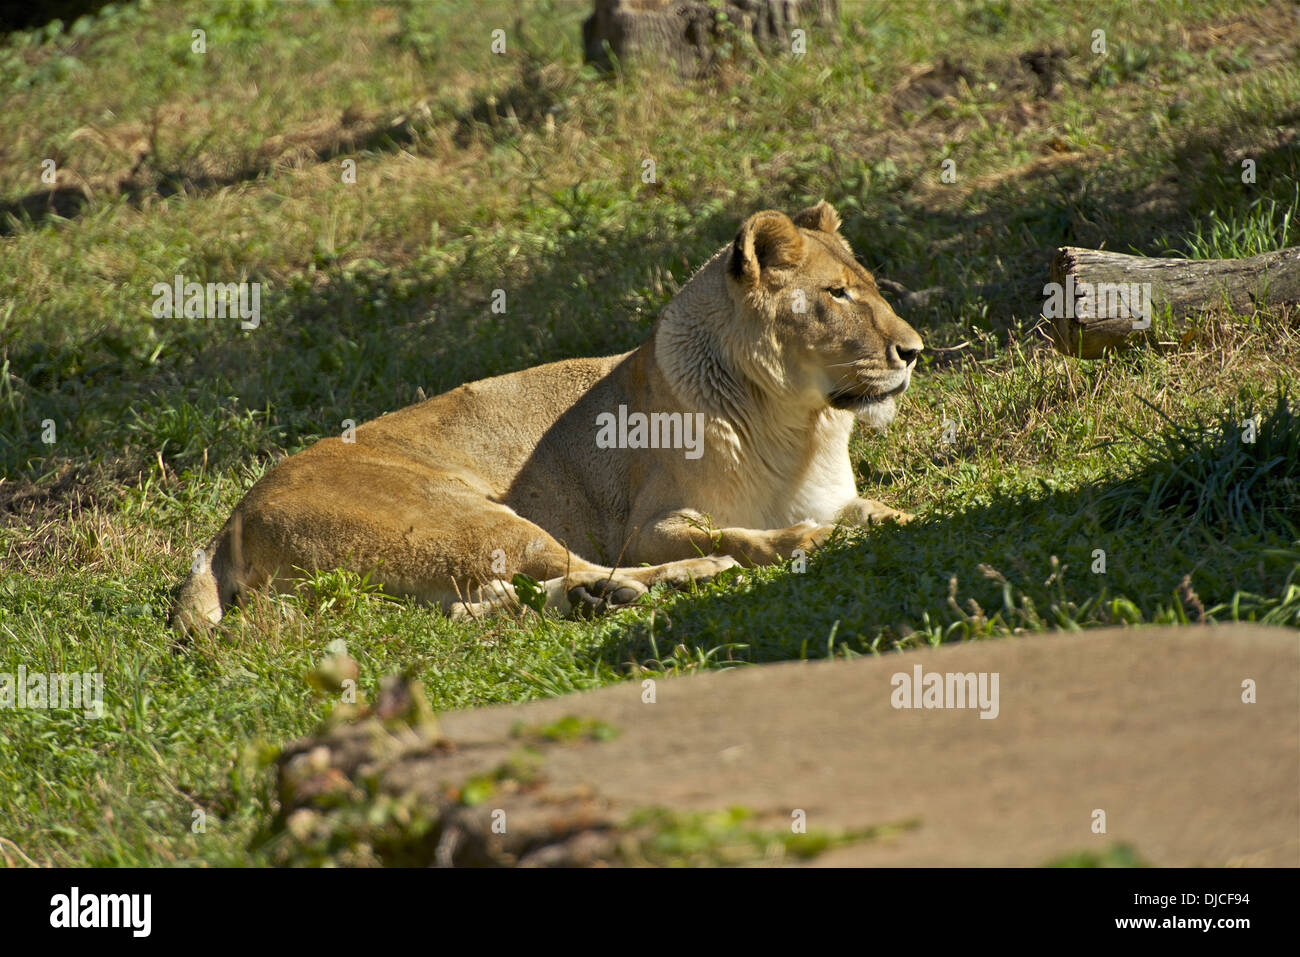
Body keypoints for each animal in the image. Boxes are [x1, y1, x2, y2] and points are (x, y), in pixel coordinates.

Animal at [172, 200, 923, 629]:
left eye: (870, 286)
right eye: (836, 295)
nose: (914, 351)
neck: (796, 424)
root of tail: (232, 517)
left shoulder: (838, 495)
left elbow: (880, 513)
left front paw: (910, 523)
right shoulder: (646, 526)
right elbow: (741, 533)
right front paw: (801, 541)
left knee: (493, 602)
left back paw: (599, 601)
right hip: (466, 519)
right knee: (570, 567)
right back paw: (680, 579)